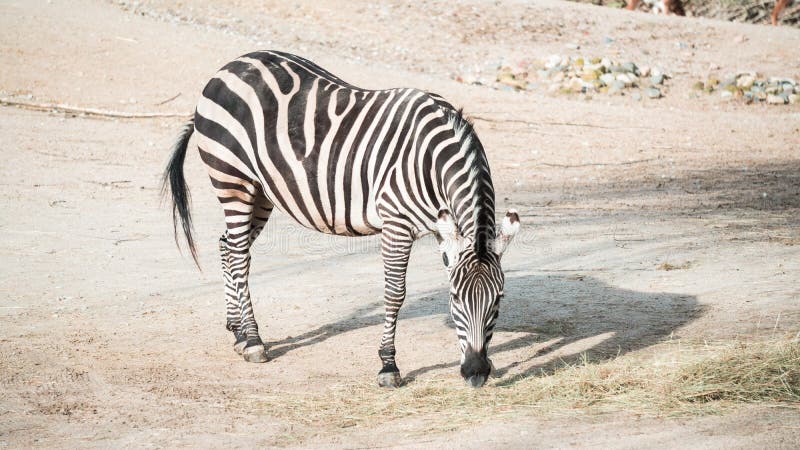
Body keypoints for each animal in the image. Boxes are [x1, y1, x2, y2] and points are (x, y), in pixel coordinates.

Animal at [163, 50, 521, 388]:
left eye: (499, 299)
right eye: (456, 298)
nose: (476, 373)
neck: (433, 160)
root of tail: (230, 65)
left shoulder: (443, 228)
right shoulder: (396, 223)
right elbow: (395, 293)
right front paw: (388, 365)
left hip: (262, 192)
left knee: (227, 246)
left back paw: (236, 330)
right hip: (232, 180)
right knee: (238, 255)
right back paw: (252, 340)